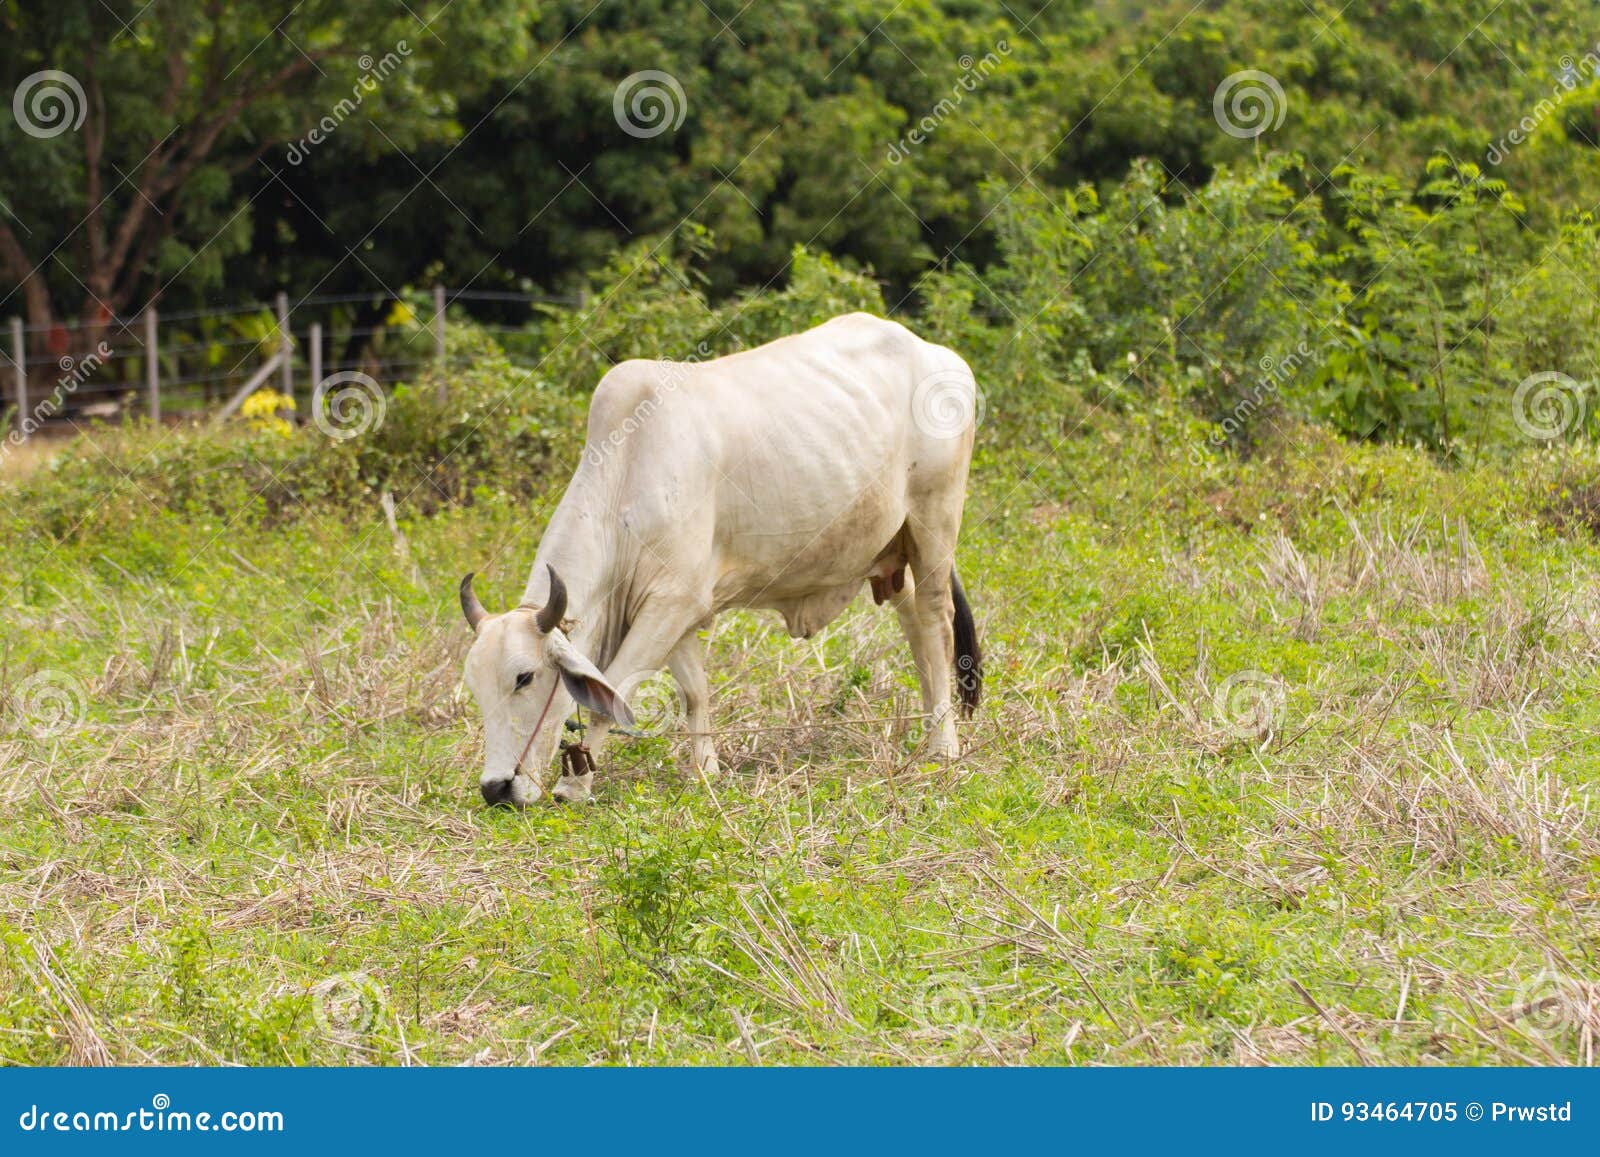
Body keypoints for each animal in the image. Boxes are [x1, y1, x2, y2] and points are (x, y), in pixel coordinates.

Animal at [458, 312, 982, 807]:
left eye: (524, 678)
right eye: (476, 687)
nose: (496, 788)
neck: (625, 473)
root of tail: (936, 352)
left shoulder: (672, 601)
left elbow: (617, 688)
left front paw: (575, 784)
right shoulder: (674, 609)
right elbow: (694, 691)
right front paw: (705, 770)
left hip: (934, 523)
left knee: (936, 623)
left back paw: (944, 744)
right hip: (893, 551)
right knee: (916, 630)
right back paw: (930, 725)